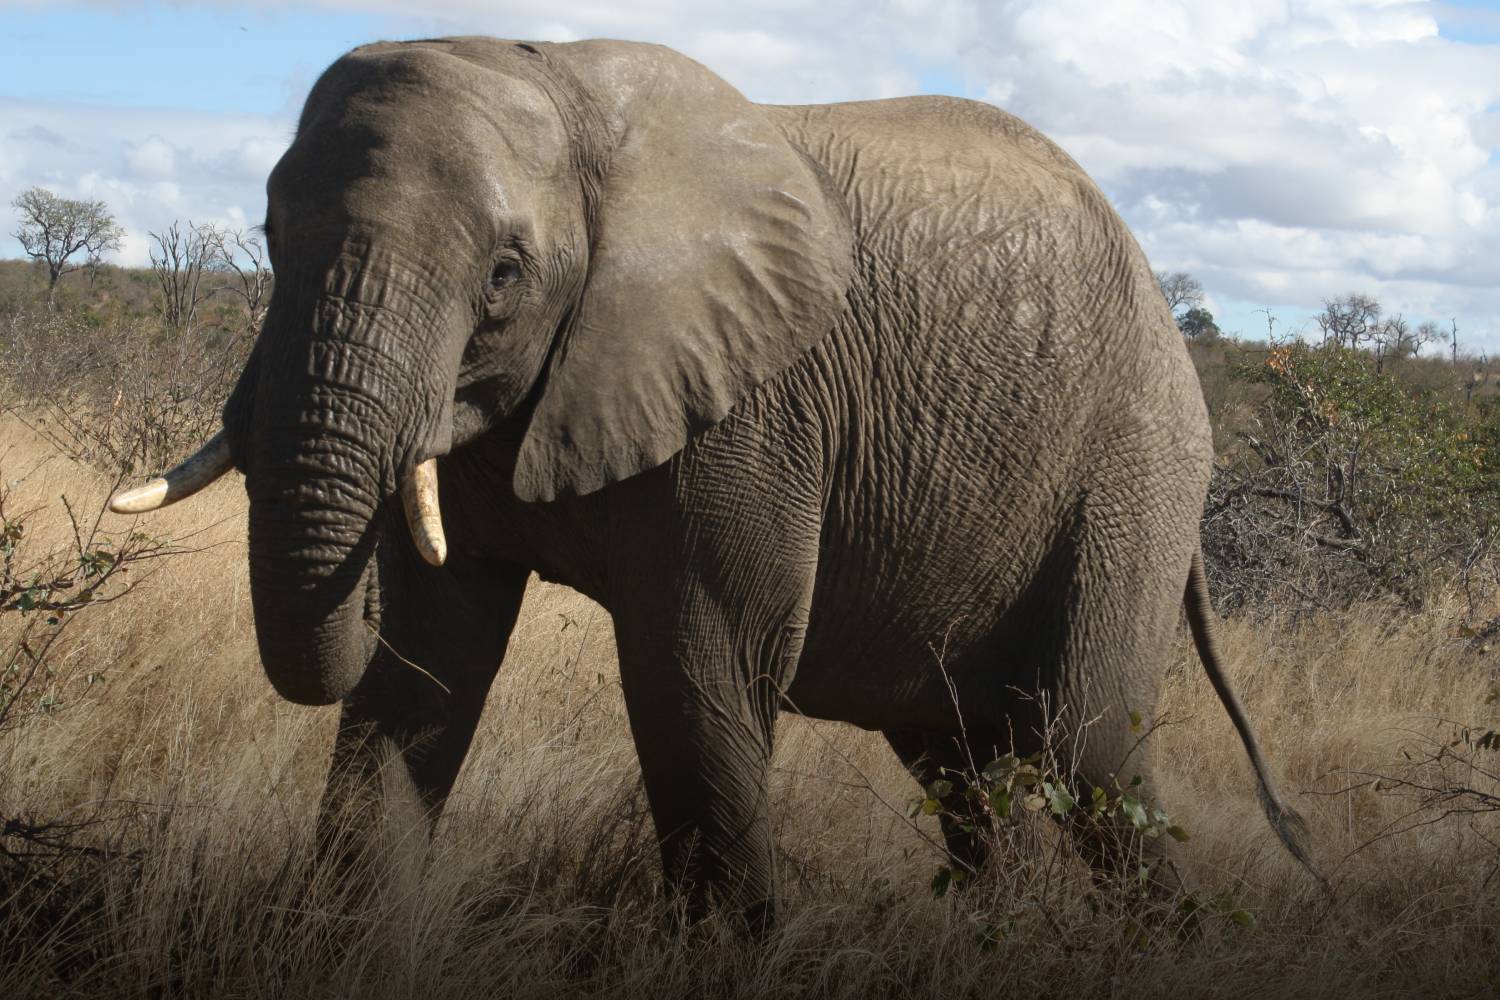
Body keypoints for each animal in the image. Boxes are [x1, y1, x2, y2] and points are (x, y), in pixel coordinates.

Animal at [110, 36, 1319, 921]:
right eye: (269, 233)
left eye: (502, 275)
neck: (559, 84)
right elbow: (429, 662)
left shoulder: (756, 412)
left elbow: (699, 672)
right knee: (962, 767)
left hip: (1134, 473)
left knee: (1093, 748)